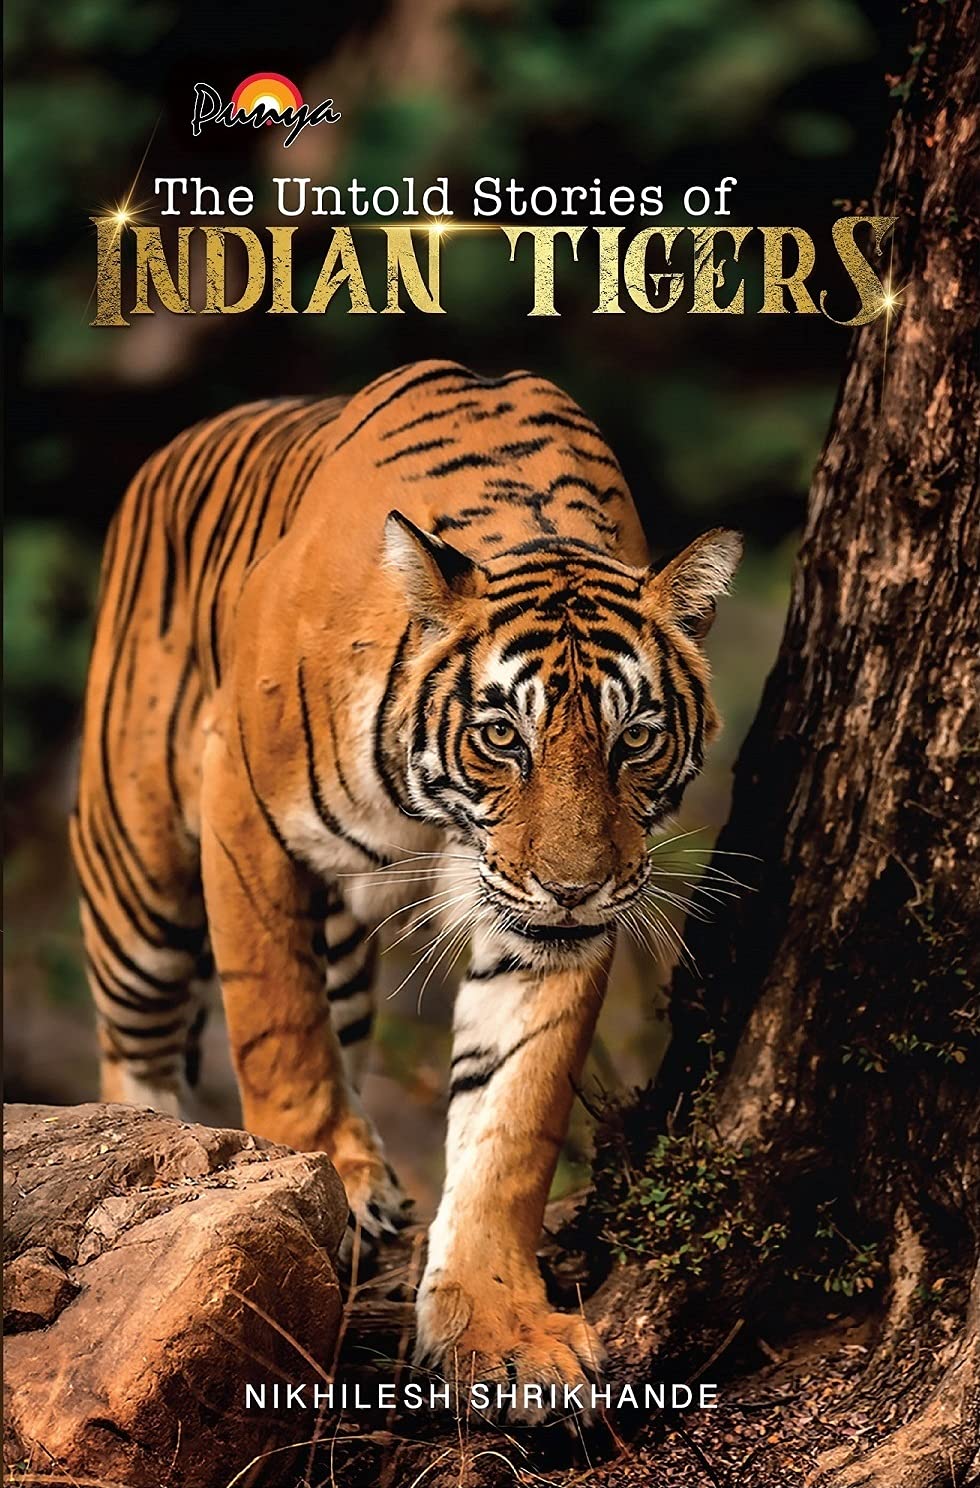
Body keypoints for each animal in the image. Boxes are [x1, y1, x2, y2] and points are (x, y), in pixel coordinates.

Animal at [71, 359, 741, 1411]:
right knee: (136, 1049)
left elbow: (512, 1117)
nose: (574, 887)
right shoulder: (243, 808)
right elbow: (276, 1027)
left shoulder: (543, 929)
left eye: (635, 738)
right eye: (502, 735)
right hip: (136, 875)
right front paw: (328, 1180)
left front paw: (500, 1330)